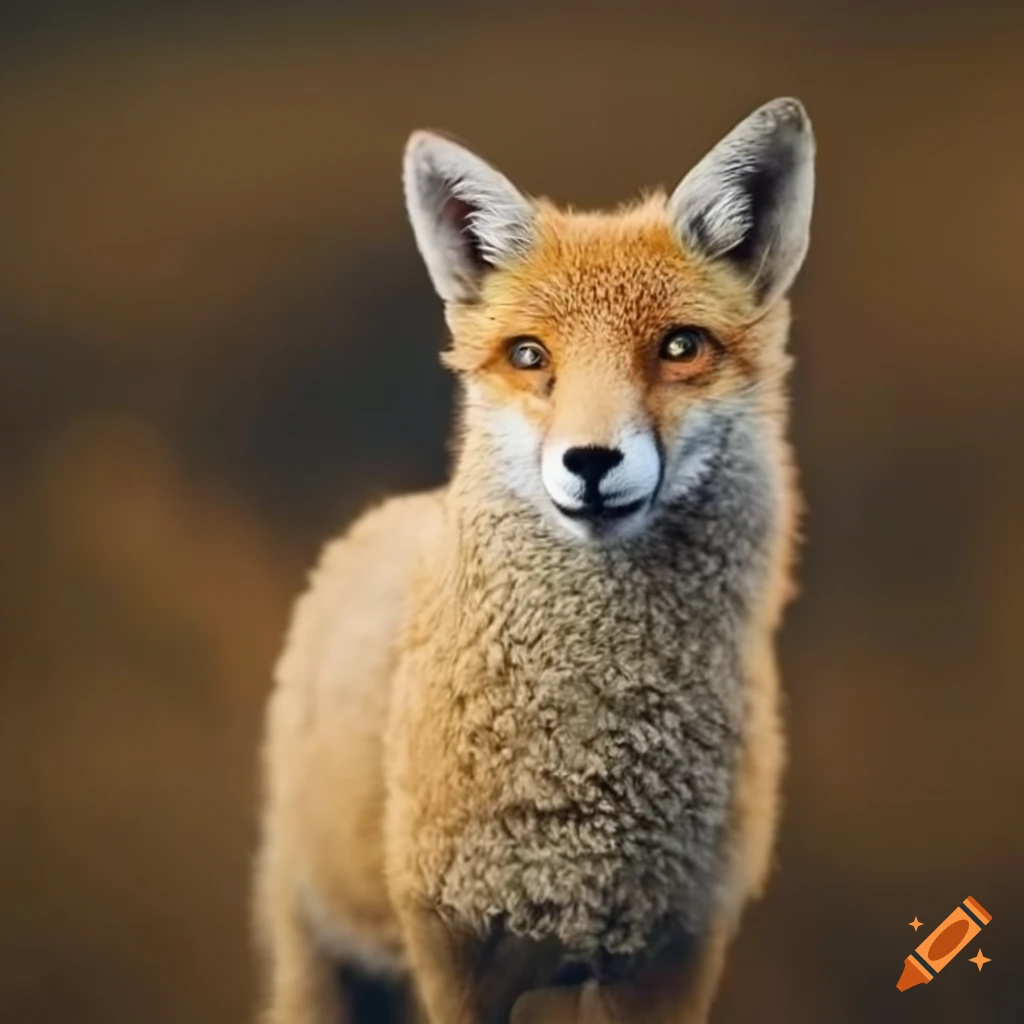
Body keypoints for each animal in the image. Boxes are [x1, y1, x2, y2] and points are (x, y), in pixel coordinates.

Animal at [253, 97, 815, 1024]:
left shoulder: (669, 956)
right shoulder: (455, 948)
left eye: (680, 347)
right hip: (319, 949)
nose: (590, 461)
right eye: (529, 356)